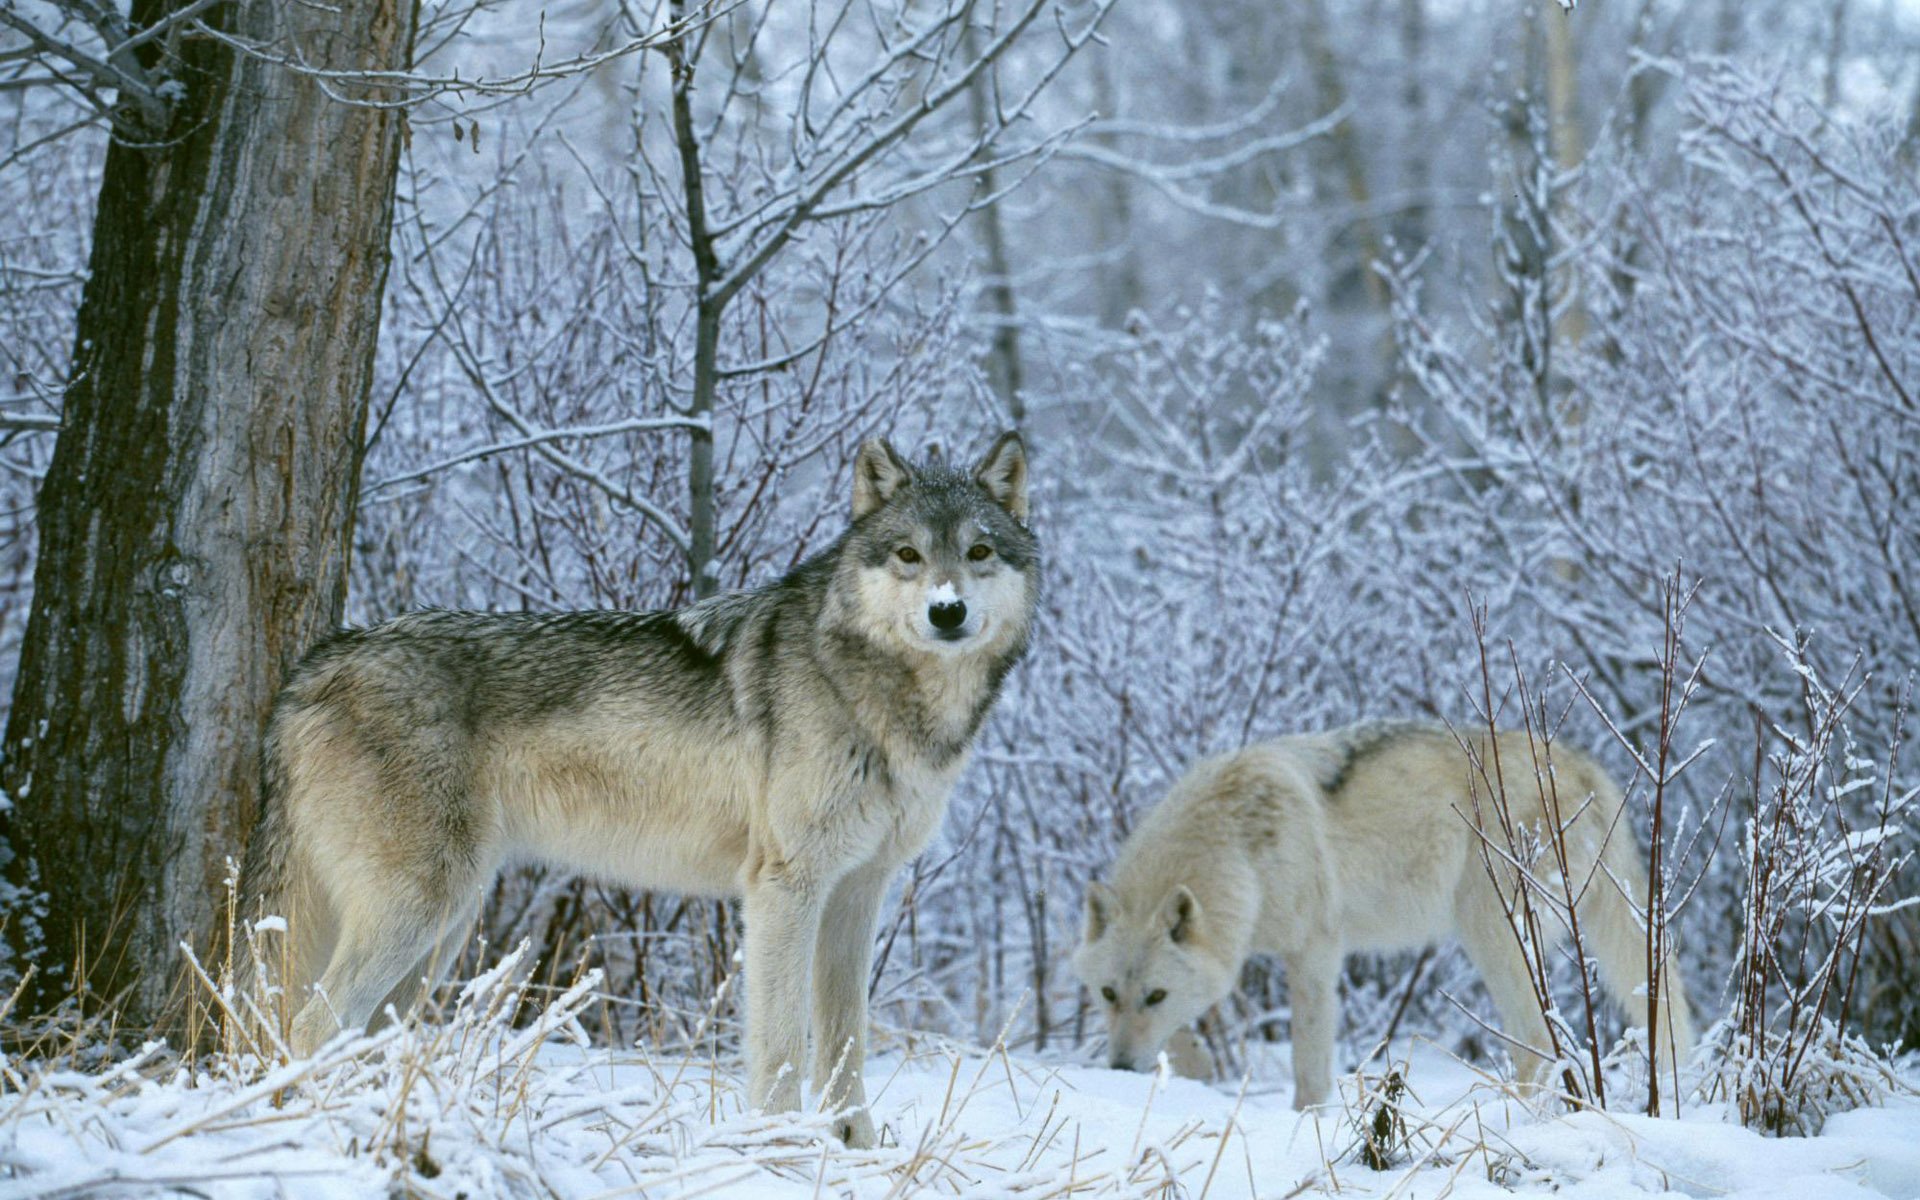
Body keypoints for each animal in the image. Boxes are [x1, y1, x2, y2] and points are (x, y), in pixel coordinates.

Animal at [237, 432, 1037, 1147]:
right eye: (908, 555)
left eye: (978, 553)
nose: (946, 611)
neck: (884, 698)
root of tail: (312, 667)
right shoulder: (785, 887)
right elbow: (782, 1045)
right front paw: (779, 1149)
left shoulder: (857, 893)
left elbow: (846, 1046)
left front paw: (854, 1149)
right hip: (422, 910)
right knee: (311, 1022)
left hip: (443, 930)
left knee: (360, 1033)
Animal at [1073, 722, 1695, 1107]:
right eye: (1108, 995)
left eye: (1154, 995)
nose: (1120, 1067)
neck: (1238, 846)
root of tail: (1585, 766)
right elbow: (1187, 1034)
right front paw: (1197, 1070)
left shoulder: (1315, 953)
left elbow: (1308, 1067)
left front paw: (1305, 1120)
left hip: (1491, 935)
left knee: (1538, 1044)